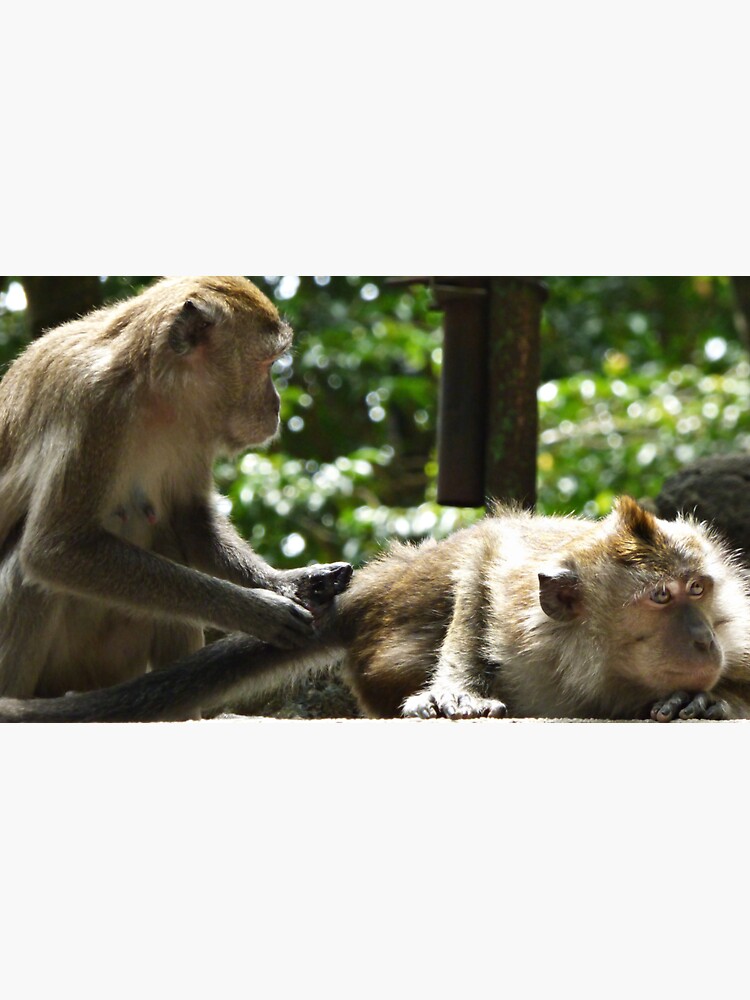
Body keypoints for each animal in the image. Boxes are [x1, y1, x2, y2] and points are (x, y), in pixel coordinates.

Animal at [0, 276, 352, 705]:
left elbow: (189, 520)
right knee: (27, 572)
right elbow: (54, 549)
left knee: (165, 533)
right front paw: (258, 610)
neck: (152, 389)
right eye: (266, 364)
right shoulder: (92, 405)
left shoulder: (194, 424)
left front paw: (292, 582)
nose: (277, 405)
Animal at [1, 495, 749, 723]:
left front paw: (703, 701)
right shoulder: (521, 608)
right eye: (659, 598)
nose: (701, 642)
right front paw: (455, 694)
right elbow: (487, 549)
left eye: (698, 590)